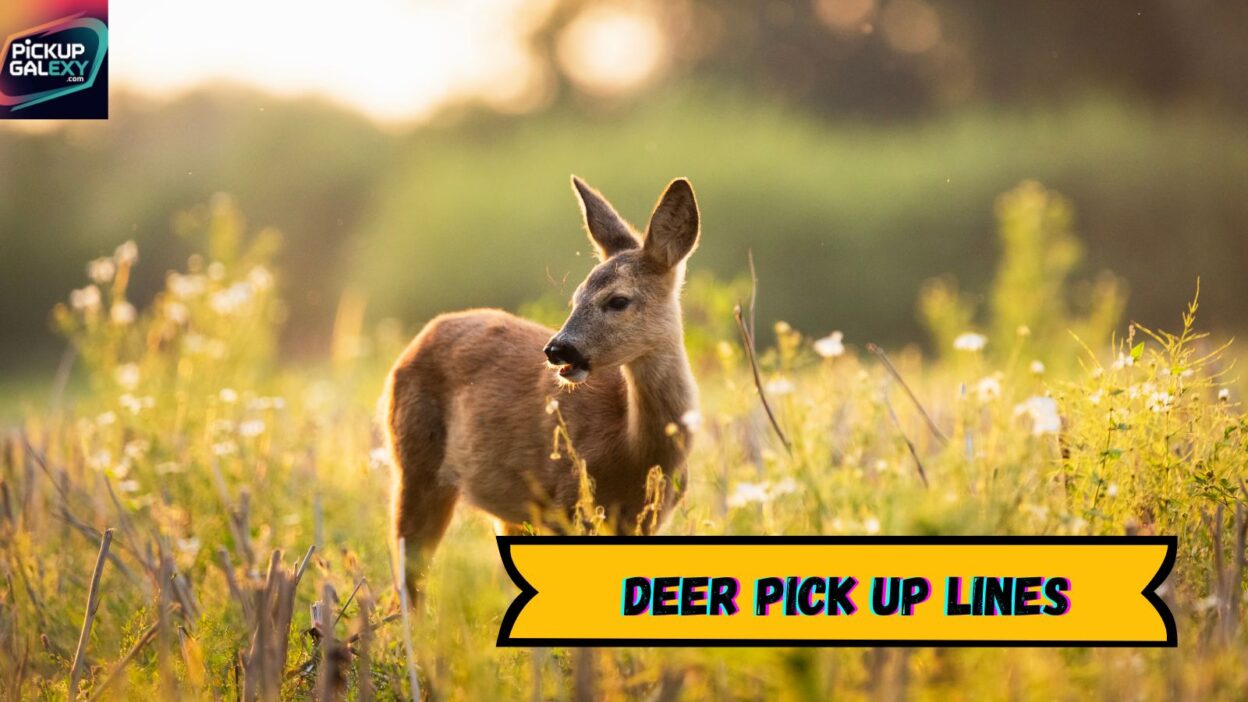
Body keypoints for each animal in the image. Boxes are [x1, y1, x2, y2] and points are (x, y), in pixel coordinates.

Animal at [381, 176, 702, 600]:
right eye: (576, 297)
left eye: (618, 300)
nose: (557, 349)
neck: (633, 451)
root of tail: (419, 337)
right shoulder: (566, 504)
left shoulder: (644, 520)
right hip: (415, 463)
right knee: (410, 574)